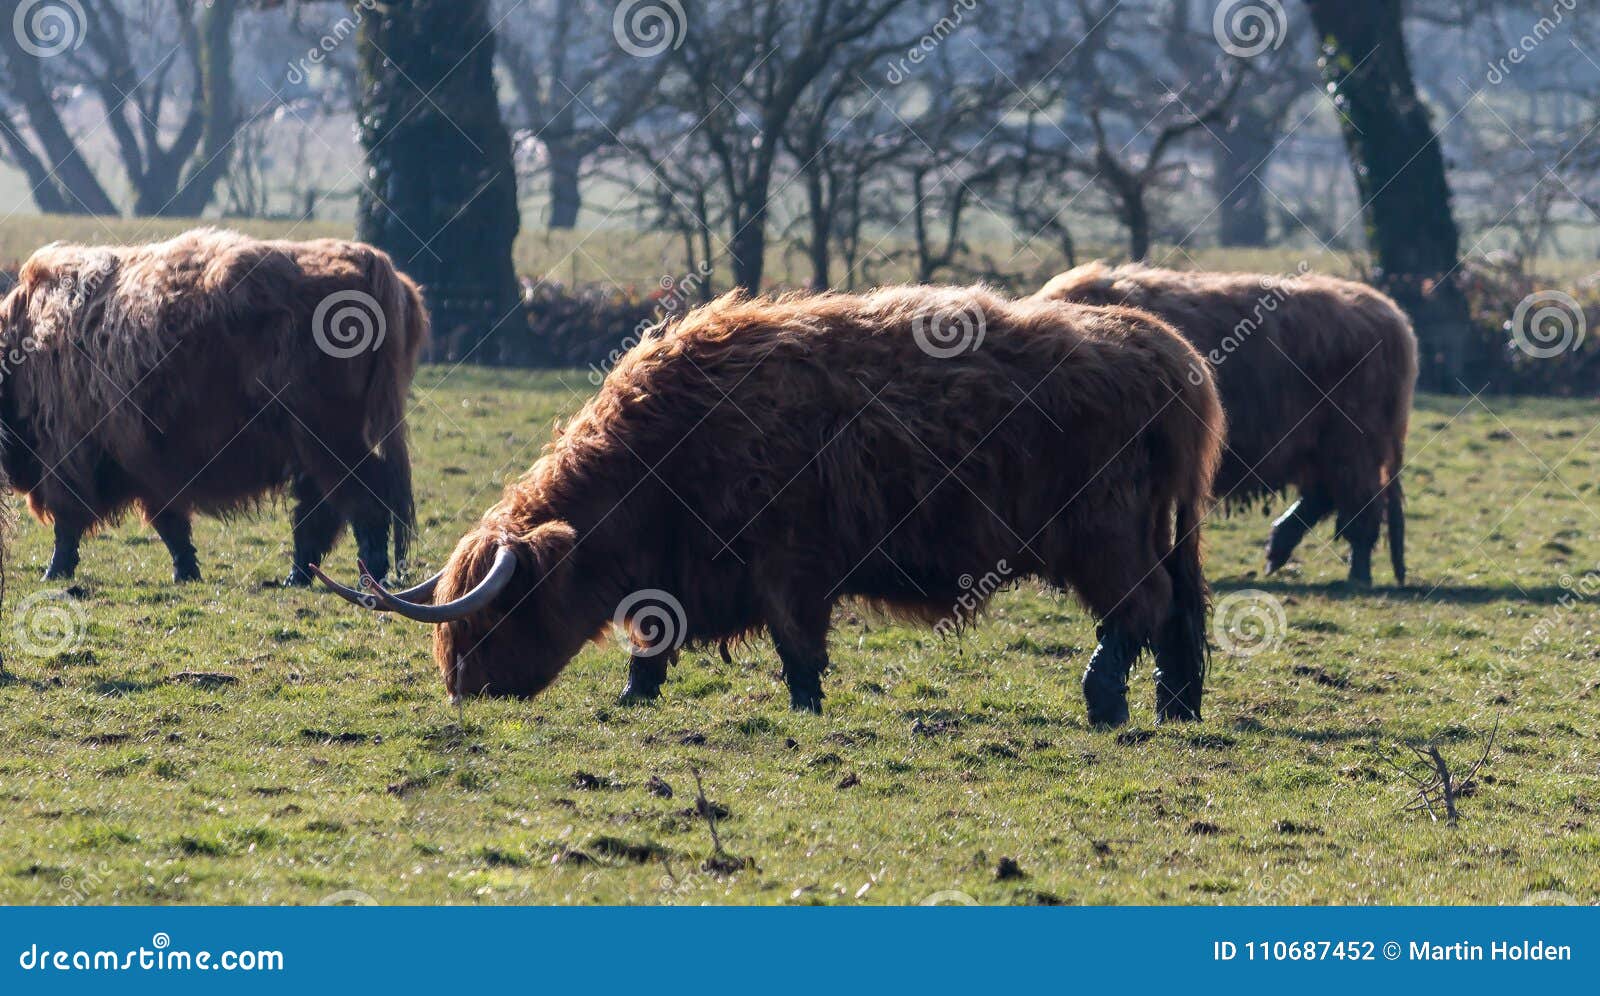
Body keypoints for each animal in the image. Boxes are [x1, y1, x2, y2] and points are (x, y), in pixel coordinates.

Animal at [0, 227, 427, 586]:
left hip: (330, 436)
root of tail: (370, 259)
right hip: (314, 444)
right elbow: (170, 524)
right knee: (320, 509)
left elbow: (67, 520)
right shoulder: (148, 462)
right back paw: (298, 576)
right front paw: (186, 571)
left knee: (366, 497)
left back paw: (369, 576)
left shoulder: (68, 452)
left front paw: (55, 572)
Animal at [315, 286, 1223, 727]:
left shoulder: (790, 562)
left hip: (1103, 533)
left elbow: (796, 646)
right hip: (1153, 530)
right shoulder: (673, 578)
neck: (659, 459)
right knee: (1178, 613)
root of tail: (1169, 356)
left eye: (498, 614)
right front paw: (633, 698)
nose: (462, 690)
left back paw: (1102, 701)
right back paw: (1173, 707)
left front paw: (806, 709)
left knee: (1139, 608)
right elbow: (650, 641)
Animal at [1034, 262, 1417, 586]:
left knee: (1359, 507)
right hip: (1327, 447)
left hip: (1354, 442)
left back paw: (1356, 575)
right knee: (1326, 495)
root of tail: (1391, 316)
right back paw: (1277, 551)